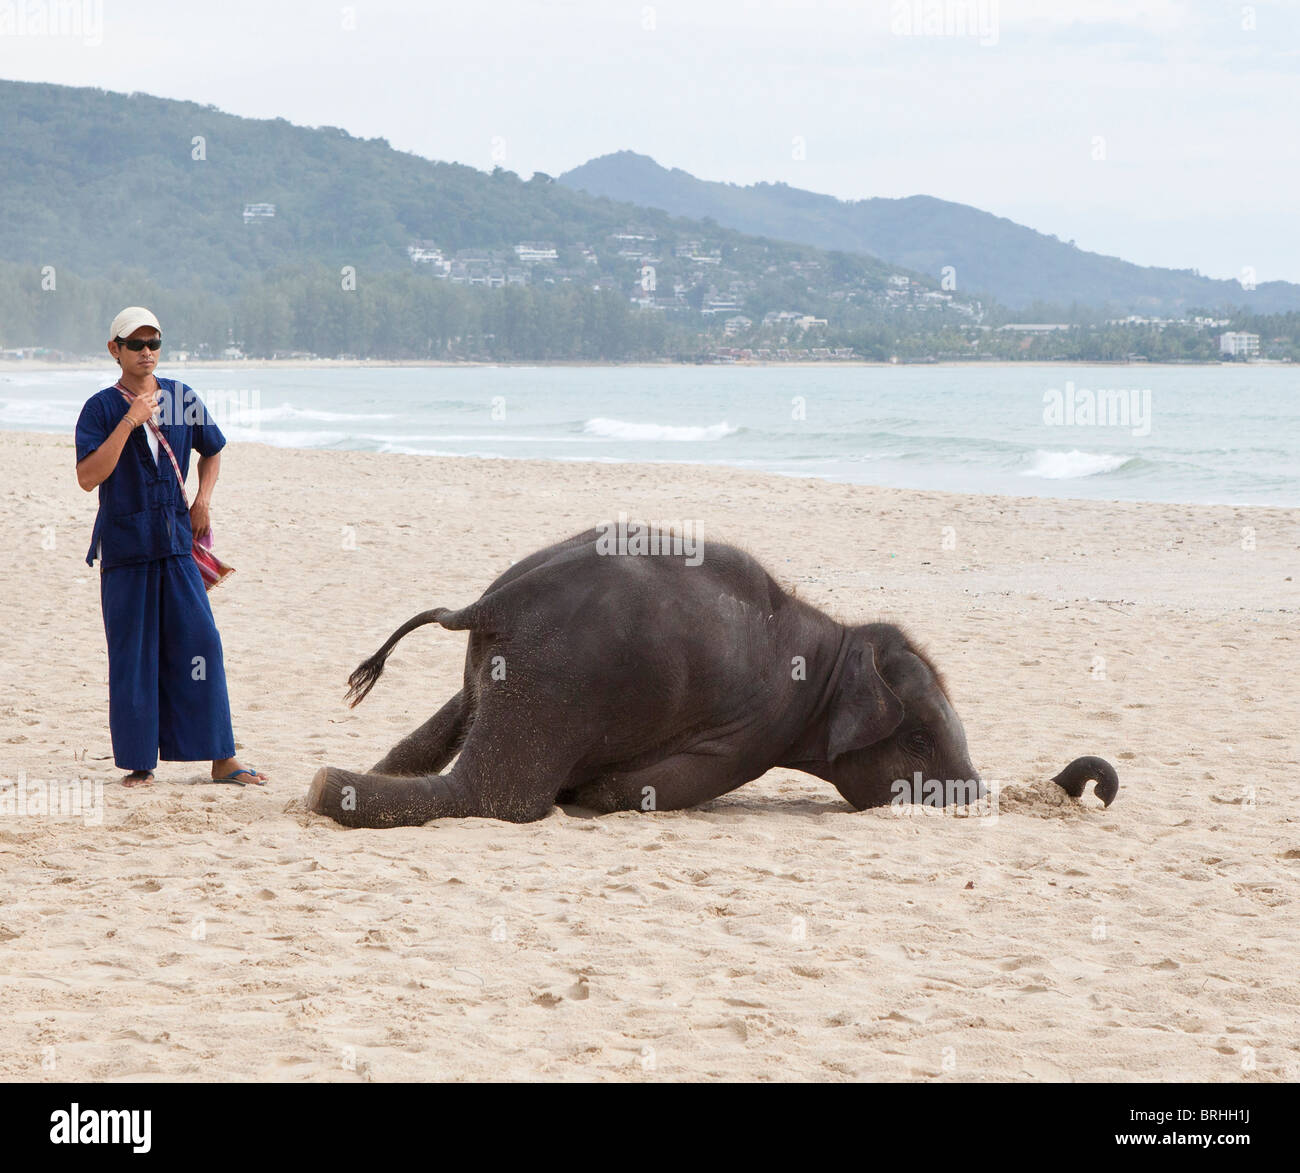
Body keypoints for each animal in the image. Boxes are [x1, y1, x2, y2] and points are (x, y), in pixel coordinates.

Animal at [308, 527, 1118, 828]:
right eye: (917, 740)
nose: (1096, 786)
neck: (836, 646)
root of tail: (489, 602)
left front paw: (590, 790)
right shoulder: (759, 726)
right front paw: (594, 795)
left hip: (505, 667)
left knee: (440, 734)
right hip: (555, 681)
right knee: (498, 797)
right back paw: (327, 788)